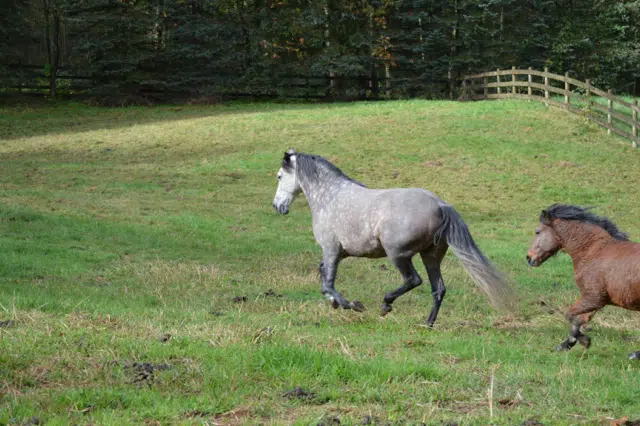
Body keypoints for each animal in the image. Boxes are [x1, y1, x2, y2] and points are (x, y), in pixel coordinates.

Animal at [271, 149, 515, 326]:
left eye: (280, 176)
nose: (277, 206)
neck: (329, 197)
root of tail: (440, 205)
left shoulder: (331, 250)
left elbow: (328, 284)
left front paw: (351, 304)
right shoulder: (339, 253)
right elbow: (323, 275)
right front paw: (334, 303)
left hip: (398, 254)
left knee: (414, 280)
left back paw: (386, 305)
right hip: (431, 256)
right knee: (438, 288)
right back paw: (427, 324)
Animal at [526, 204, 640, 359]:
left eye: (537, 232)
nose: (529, 257)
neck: (593, 250)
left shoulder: (594, 298)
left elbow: (570, 315)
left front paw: (583, 341)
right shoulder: (595, 301)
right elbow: (581, 319)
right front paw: (566, 345)